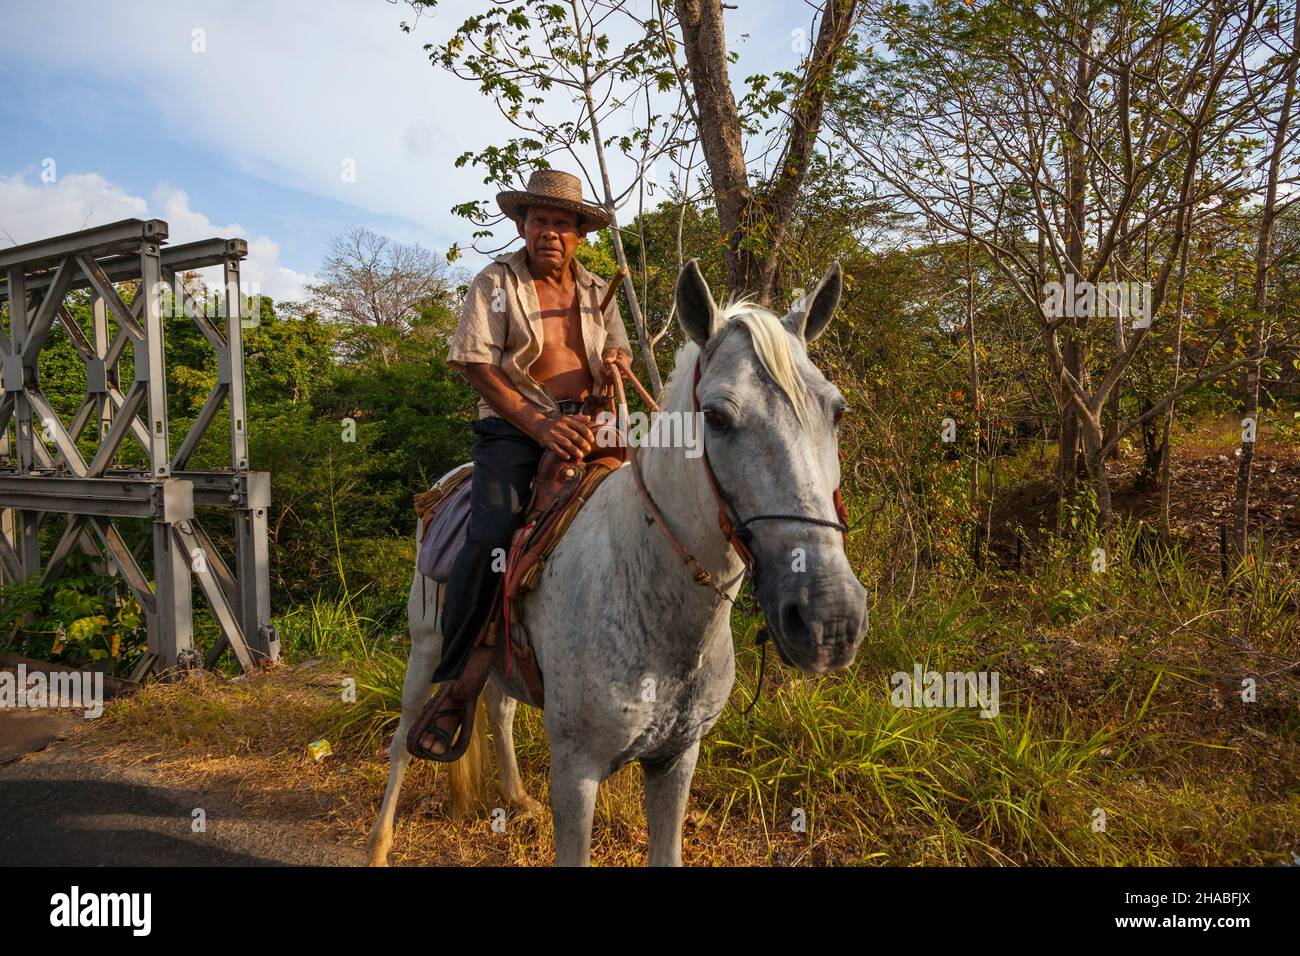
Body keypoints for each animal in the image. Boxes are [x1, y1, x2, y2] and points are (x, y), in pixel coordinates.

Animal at [367, 259, 869, 866]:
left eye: (836, 411)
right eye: (717, 418)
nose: (830, 618)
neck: (648, 589)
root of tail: (448, 483)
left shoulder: (676, 759)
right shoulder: (576, 772)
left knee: (498, 708)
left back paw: (516, 797)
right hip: (426, 644)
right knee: (402, 740)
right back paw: (380, 842)